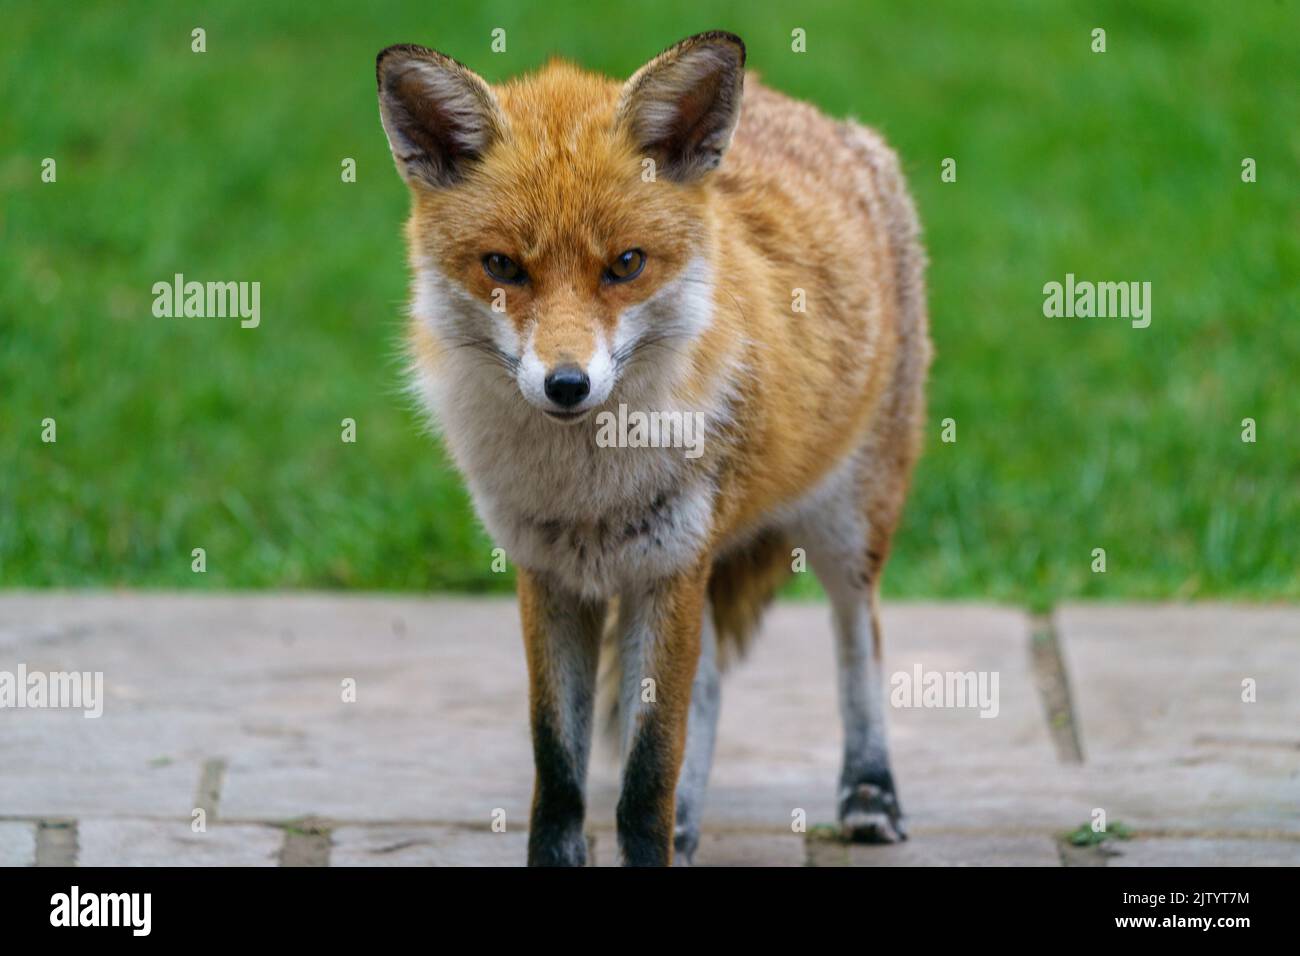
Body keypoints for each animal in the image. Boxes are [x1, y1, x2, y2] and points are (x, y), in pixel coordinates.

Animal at [376, 30, 931, 866]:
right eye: (503, 266)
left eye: (626, 264)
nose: (566, 385)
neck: (588, 488)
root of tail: (815, 116)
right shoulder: (550, 576)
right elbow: (560, 767)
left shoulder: (670, 568)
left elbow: (645, 776)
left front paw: (650, 842)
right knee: (709, 690)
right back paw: (692, 823)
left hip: (847, 523)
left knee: (858, 638)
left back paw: (869, 794)